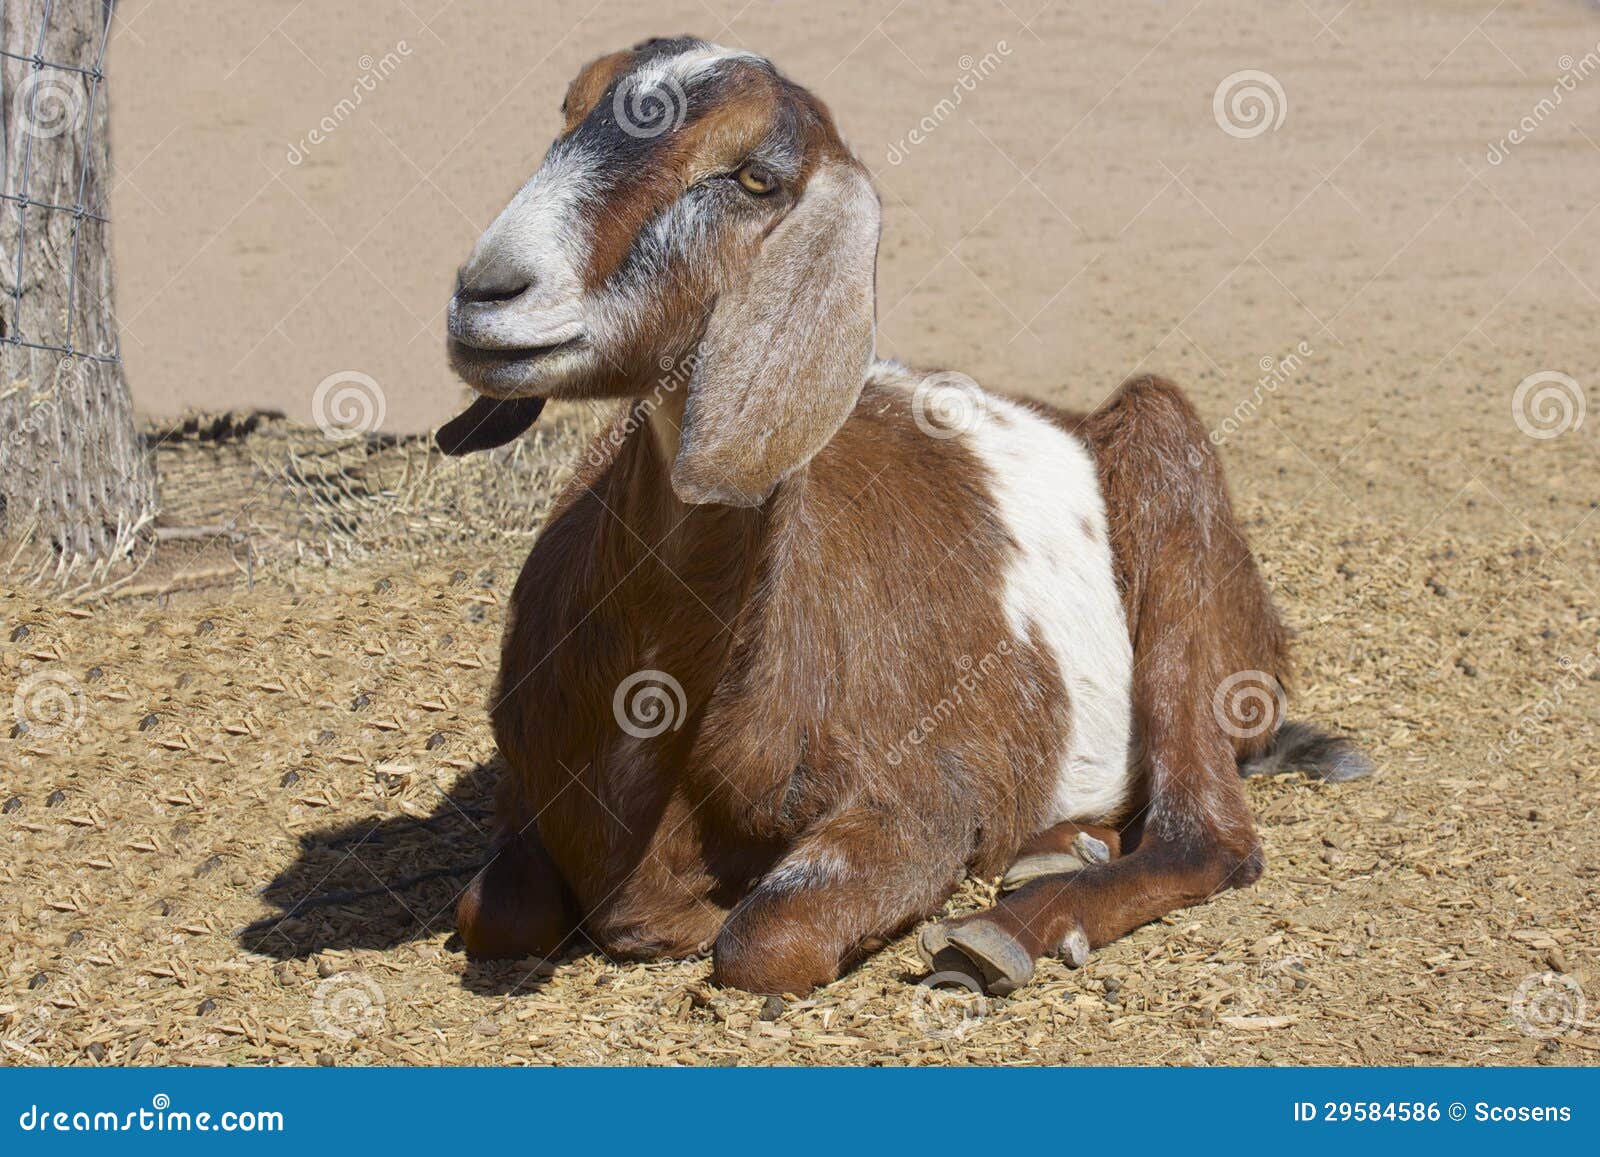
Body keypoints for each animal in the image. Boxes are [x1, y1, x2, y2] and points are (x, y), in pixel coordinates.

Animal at [436, 36, 1372, 996]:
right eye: (567, 114)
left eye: (756, 177)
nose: (488, 291)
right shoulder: (522, 787)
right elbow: (493, 912)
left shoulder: (926, 793)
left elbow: (763, 938)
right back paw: (1061, 843)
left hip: (1175, 490)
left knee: (1209, 833)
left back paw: (1008, 927)